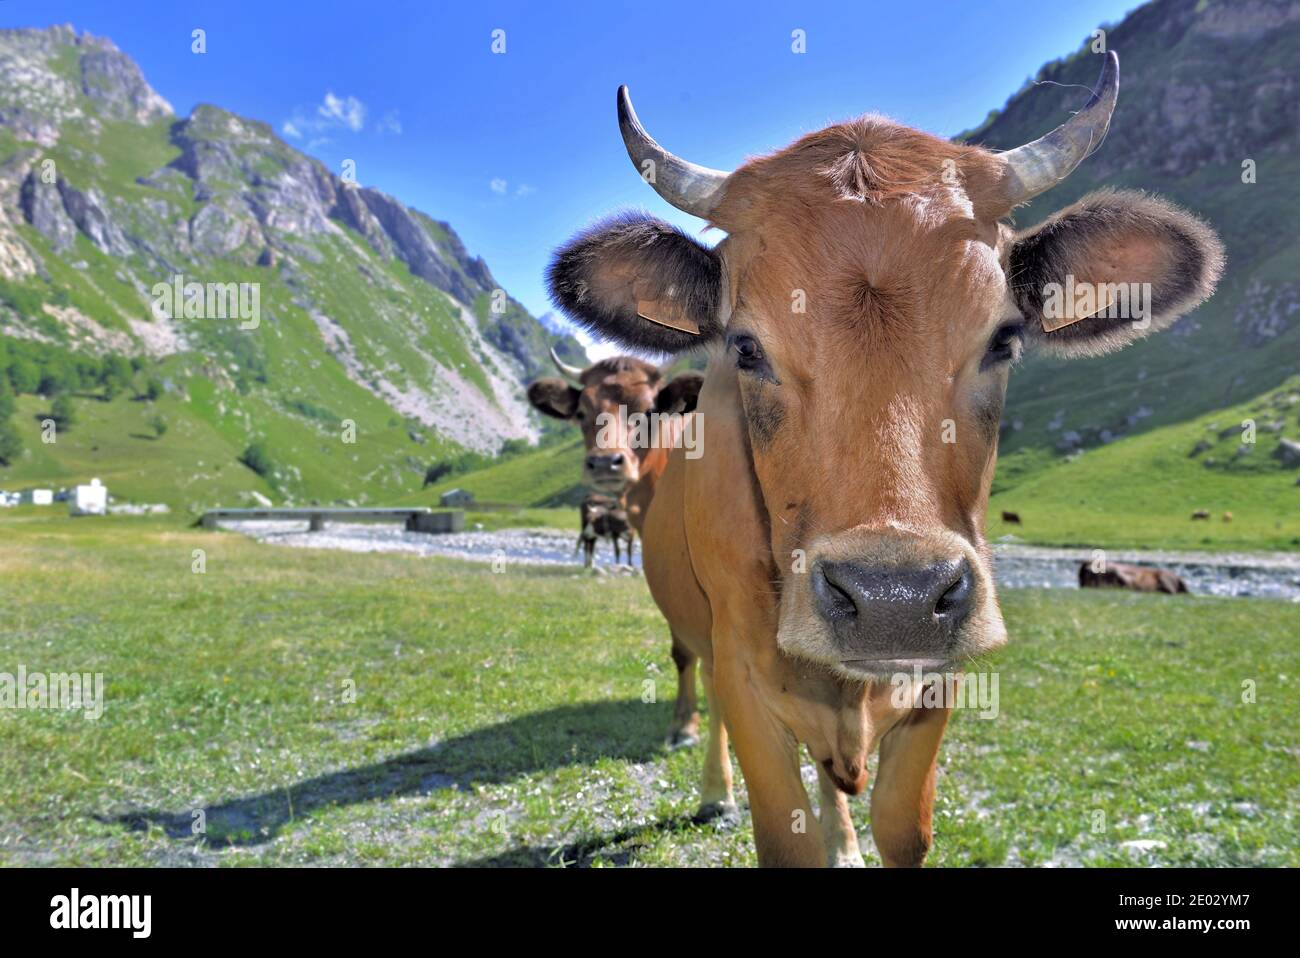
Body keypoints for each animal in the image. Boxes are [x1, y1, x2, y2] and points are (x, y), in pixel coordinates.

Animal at [547, 51, 1222, 865]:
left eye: (1004, 338)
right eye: (745, 346)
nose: (892, 601)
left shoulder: (936, 681)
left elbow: (905, 828)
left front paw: (852, 838)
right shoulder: (744, 672)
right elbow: (781, 824)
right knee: (697, 682)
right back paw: (714, 789)